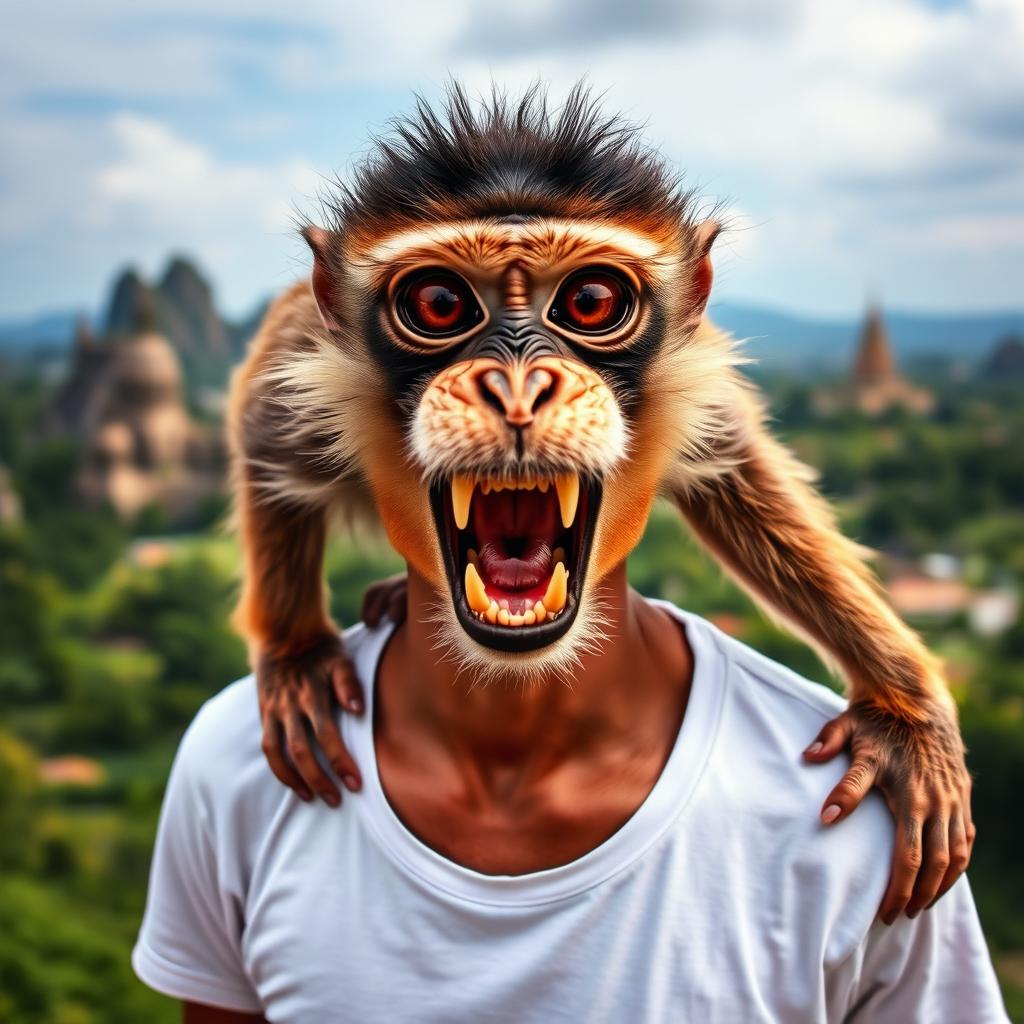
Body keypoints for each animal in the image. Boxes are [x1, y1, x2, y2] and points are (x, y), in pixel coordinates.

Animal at [227, 84, 973, 923]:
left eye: (589, 301)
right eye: (440, 303)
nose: (518, 386)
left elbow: (738, 477)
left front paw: (909, 716)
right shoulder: (299, 358)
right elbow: (264, 443)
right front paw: (297, 659)